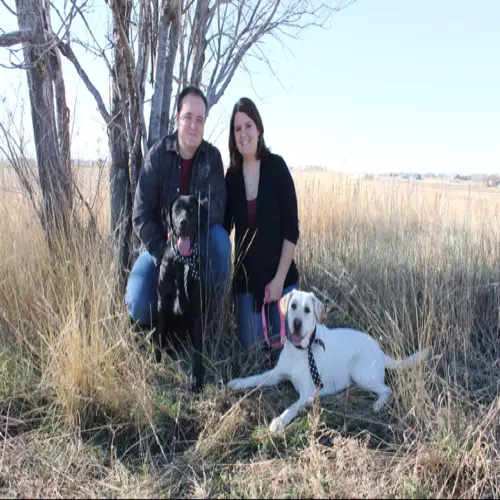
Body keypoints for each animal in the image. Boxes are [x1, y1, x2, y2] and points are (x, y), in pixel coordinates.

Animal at [153, 193, 206, 392]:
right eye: (176, 210)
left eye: (191, 209)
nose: (183, 222)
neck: (182, 261)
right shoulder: (161, 303)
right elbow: (158, 337)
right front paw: (156, 364)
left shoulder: (196, 311)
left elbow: (197, 352)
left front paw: (197, 381)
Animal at [229, 292, 428, 432]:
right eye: (293, 306)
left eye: (307, 310)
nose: (297, 323)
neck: (300, 350)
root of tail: (380, 350)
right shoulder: (275, 375)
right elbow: (255, 378)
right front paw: (237, 383)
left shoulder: (308, 393)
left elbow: (291, 408)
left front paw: (279, 421)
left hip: (361, 372)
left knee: (387, 389)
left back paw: (378, 404)